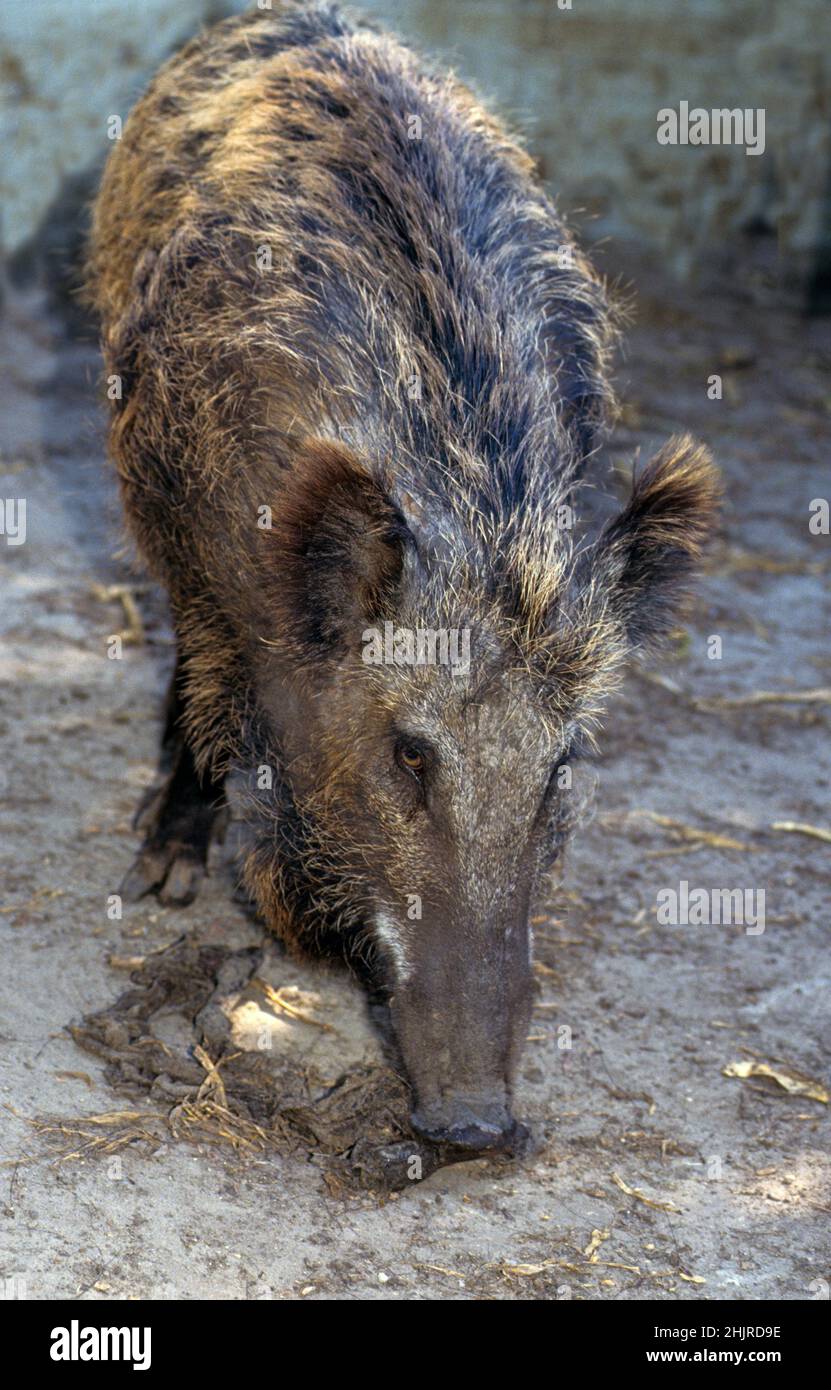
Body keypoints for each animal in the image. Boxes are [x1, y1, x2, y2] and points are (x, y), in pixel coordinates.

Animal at [86, 1, 719, 1157]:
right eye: (408, 752)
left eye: (565, 762)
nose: (476, 1127)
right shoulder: (179, 537)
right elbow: (202, 694)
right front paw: (161, 883)